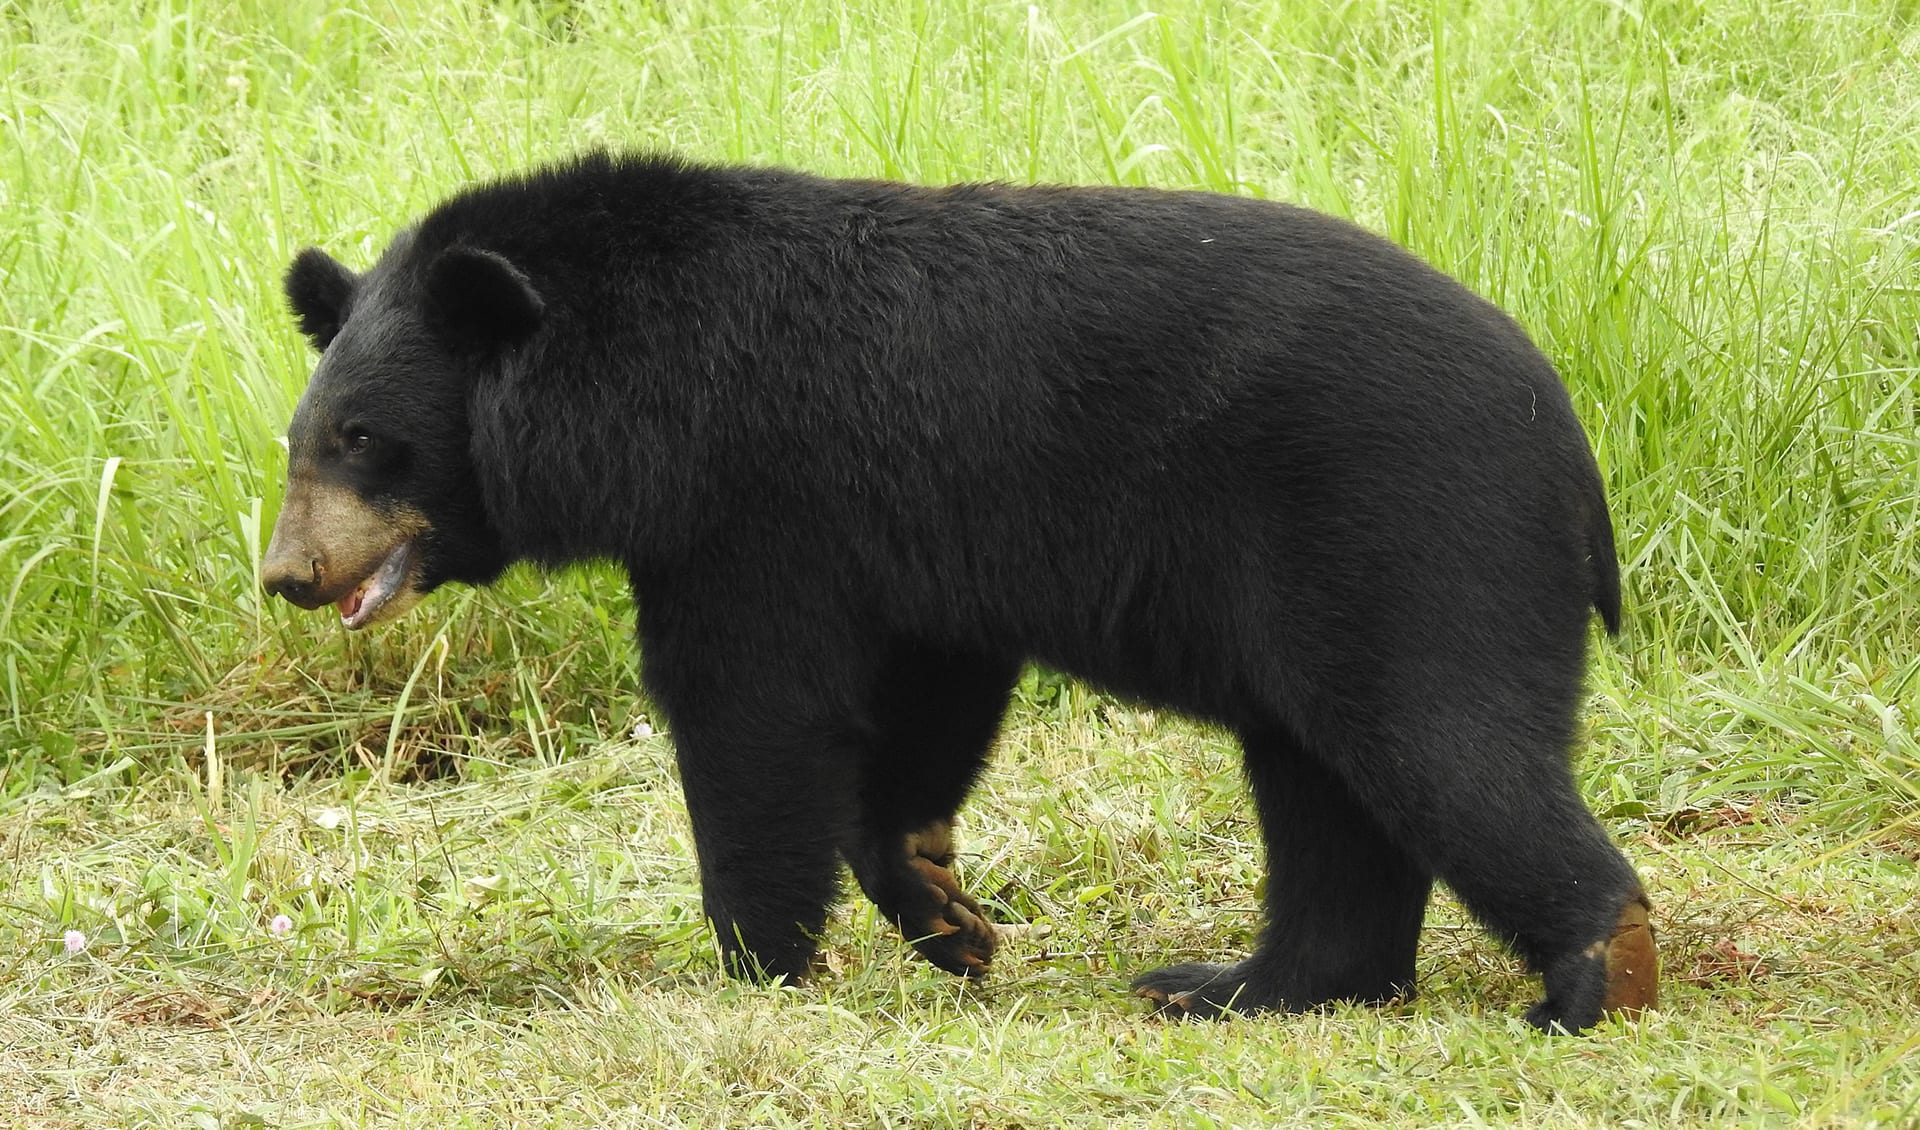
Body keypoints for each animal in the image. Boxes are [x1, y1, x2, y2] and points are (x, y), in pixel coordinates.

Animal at [261, 151, 1657, 1032]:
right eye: (302, 438)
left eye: (368, 441)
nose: (289, 574)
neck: (632, 386)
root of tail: (1572, 450)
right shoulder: (911, 540)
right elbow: (926, 695)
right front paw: (949, 912)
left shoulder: (754, 502)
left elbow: (753, 714)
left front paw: (759, 960)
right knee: (1329, 795)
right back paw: (1232, 984)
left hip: (1403, 542)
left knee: (1439, 744)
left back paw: (1594, 974)